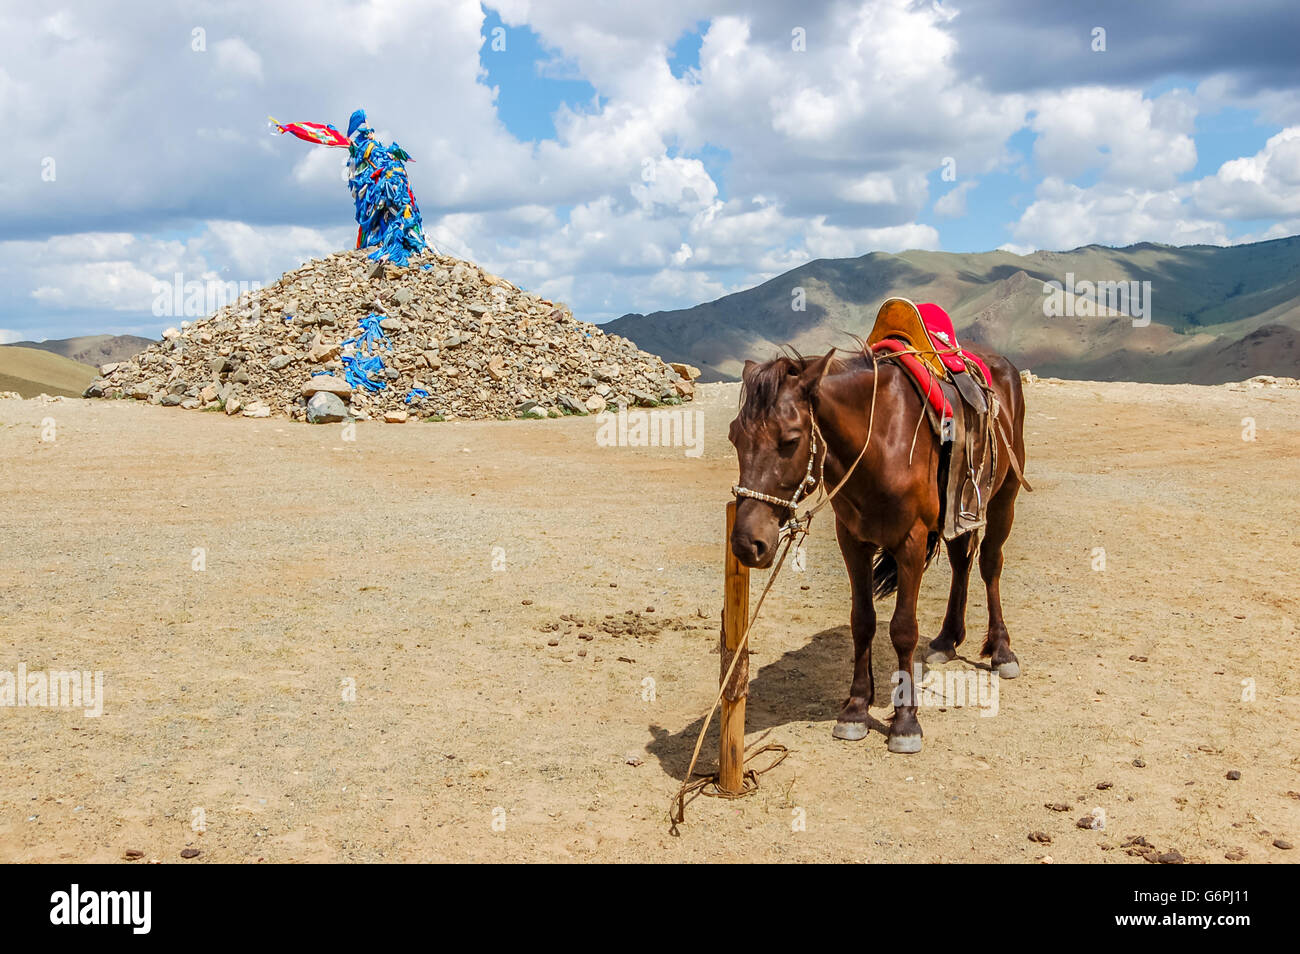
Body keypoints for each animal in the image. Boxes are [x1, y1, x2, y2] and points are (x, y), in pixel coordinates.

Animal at [726, 343, 1028, 753]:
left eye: (790, 439)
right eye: (734, 437)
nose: (747, 544)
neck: (881, 443)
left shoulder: (911, 542)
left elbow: (903, 629)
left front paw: (905, 722)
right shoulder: (852, 540)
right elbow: (862, 621)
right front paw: (855, 709)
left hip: (1003, 499)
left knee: (989, 564)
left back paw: (1000, 650)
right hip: (958, 511)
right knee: (960, 562)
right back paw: (947, 639)